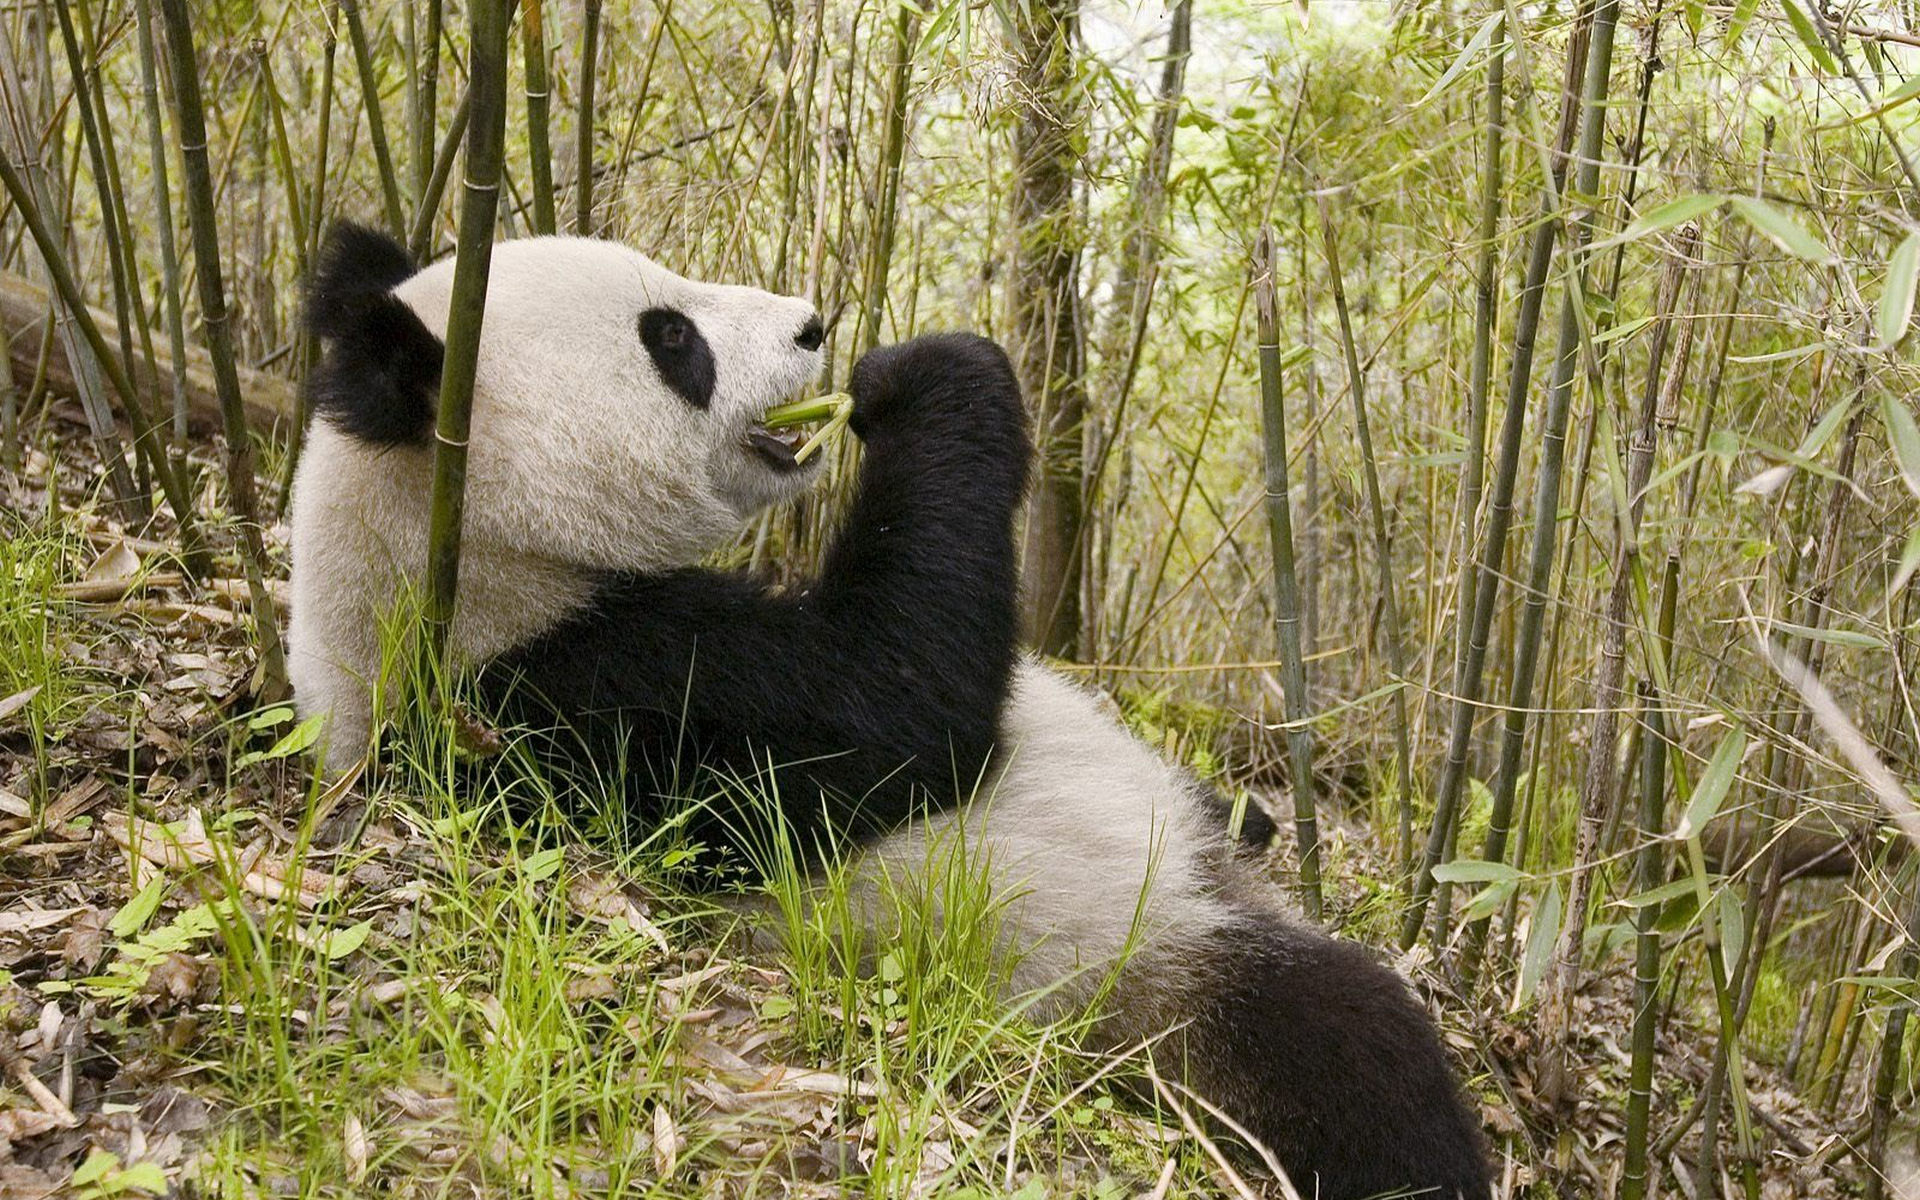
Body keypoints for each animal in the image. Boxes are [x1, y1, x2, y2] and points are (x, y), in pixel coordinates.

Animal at [288, 221, 1493, 1200]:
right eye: (671, 339)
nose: (815, 325)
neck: (462, 554)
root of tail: (1217, 903)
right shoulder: (586, 696)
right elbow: (898, 708)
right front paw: (930, 375)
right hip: (1136, 970)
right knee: (1356, 1060)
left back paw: (1245, 818)